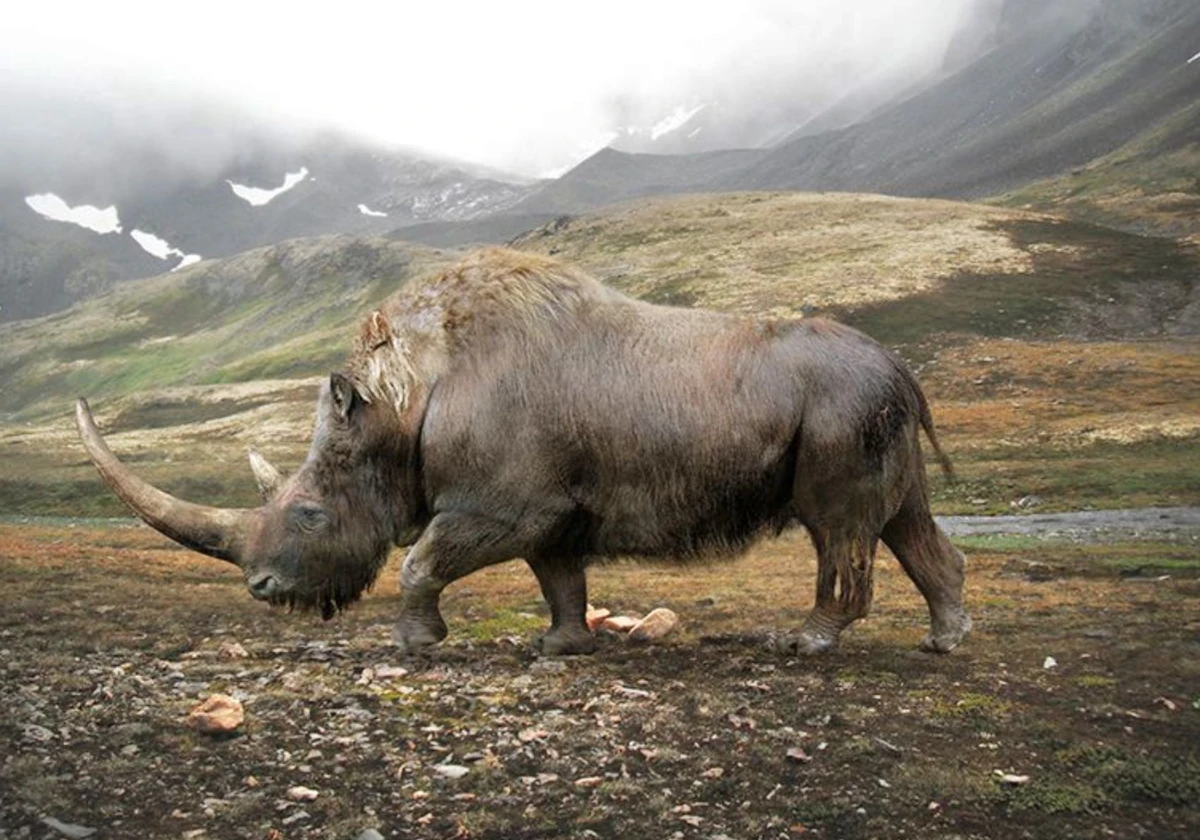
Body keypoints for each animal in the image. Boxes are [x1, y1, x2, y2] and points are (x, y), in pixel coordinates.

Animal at [76, 248, 971, 656]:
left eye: (310, 513)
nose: (261, 589)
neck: (401, 396)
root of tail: (902, 367)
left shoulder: (505, 501)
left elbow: (423, 560)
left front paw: (418, 645)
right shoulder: (549, 506)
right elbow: (559, 575)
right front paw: (561, 647)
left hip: (842, 408)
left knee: (838, 527)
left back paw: (803, 645)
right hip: (868, 405)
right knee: (902, 520)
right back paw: (944, 641)